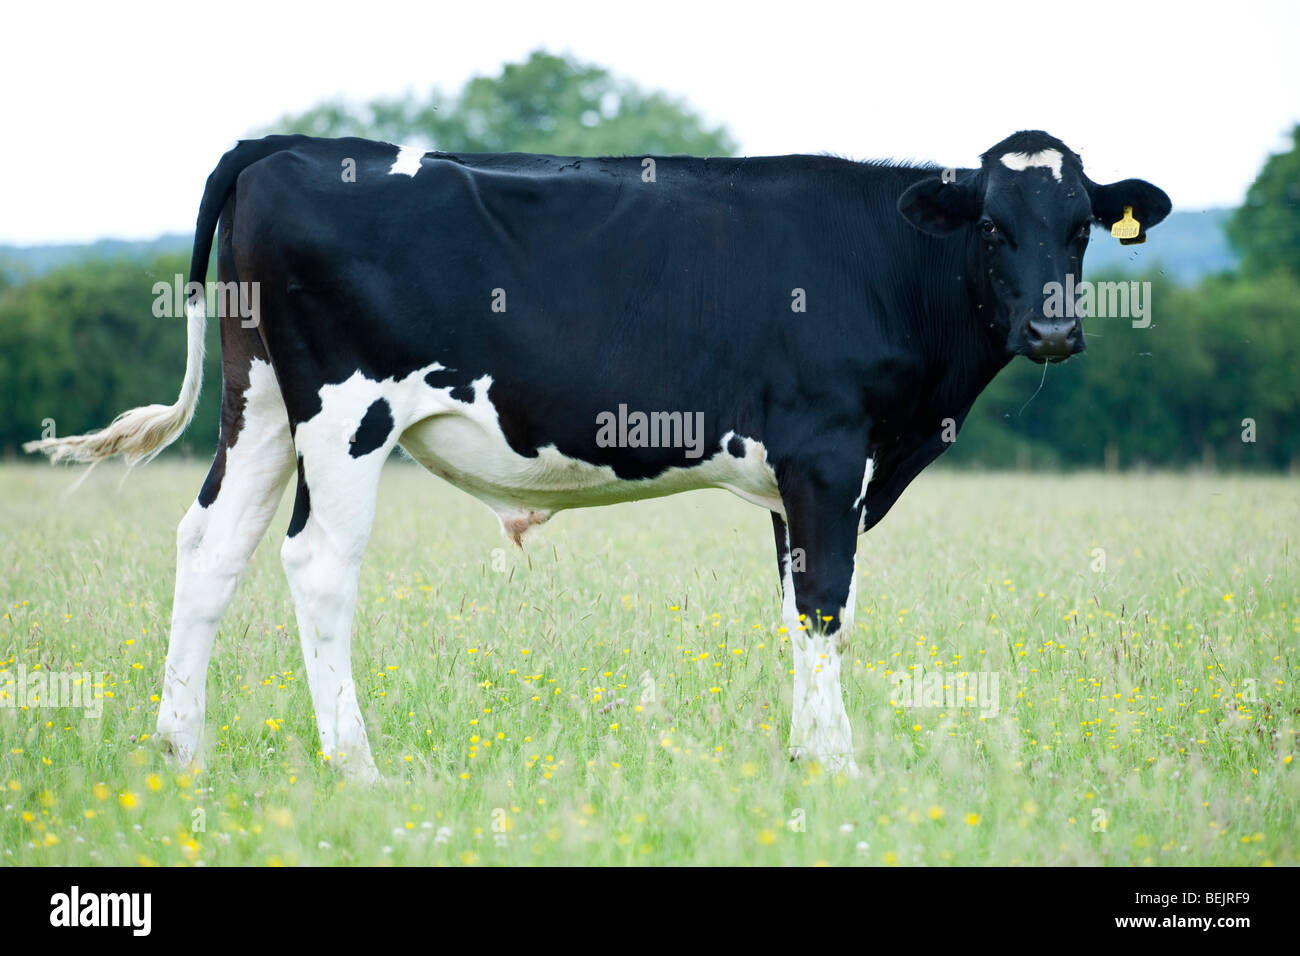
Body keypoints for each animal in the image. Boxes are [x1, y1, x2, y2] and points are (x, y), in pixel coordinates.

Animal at [26, 130, 1170, 781]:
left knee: (209, 546)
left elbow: (798, 605)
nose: (1055, 330)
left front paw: (805, 754)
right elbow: (825, 607)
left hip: (258, 398)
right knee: (316, 565)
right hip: (345, 414)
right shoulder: (826, 450)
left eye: (1079, 228)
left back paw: (181, 753)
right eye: (991, 226)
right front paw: (841, 767)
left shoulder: (798, 481)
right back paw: (355, 764)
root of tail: (286, 144)